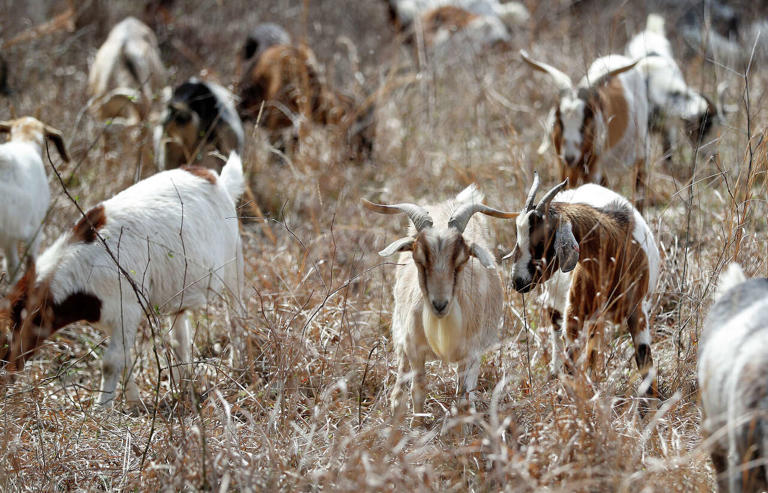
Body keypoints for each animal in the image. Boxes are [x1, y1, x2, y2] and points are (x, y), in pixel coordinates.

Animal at [0, 152, 245, 408]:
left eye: (7, 338)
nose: (6, 375)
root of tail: (213, 177)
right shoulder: (112, 317)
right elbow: (125, 358)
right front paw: (134, 402)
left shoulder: (126, 308)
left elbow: (112, 361)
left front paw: (102, 409)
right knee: (179, 335)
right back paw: (181, 385)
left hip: (233, 262)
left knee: (235, 316)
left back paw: (236, 366)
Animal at [363, 185, 516, 419]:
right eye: (418, 260)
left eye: (462, 259)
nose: (440, 304)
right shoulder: (414, 348)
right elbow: (418, 389)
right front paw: (417, 425)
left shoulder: (471, 354)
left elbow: (463, 396)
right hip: (400, 333)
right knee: (400, 383)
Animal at [506, 175, 660, 398]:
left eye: (542, 240)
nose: (517, 281)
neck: (616, 246)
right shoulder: (574, 314)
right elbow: (570, 360)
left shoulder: (637, 310)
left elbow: (644, 357)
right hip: (556, 301)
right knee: (557, 332)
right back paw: (557, 371)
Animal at [521, 51, 650, 211]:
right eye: (558, 116)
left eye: (588, 116)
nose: (570, 156)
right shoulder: (563, 166)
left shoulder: (593, 169)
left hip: (641, 151)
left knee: (639, 186)